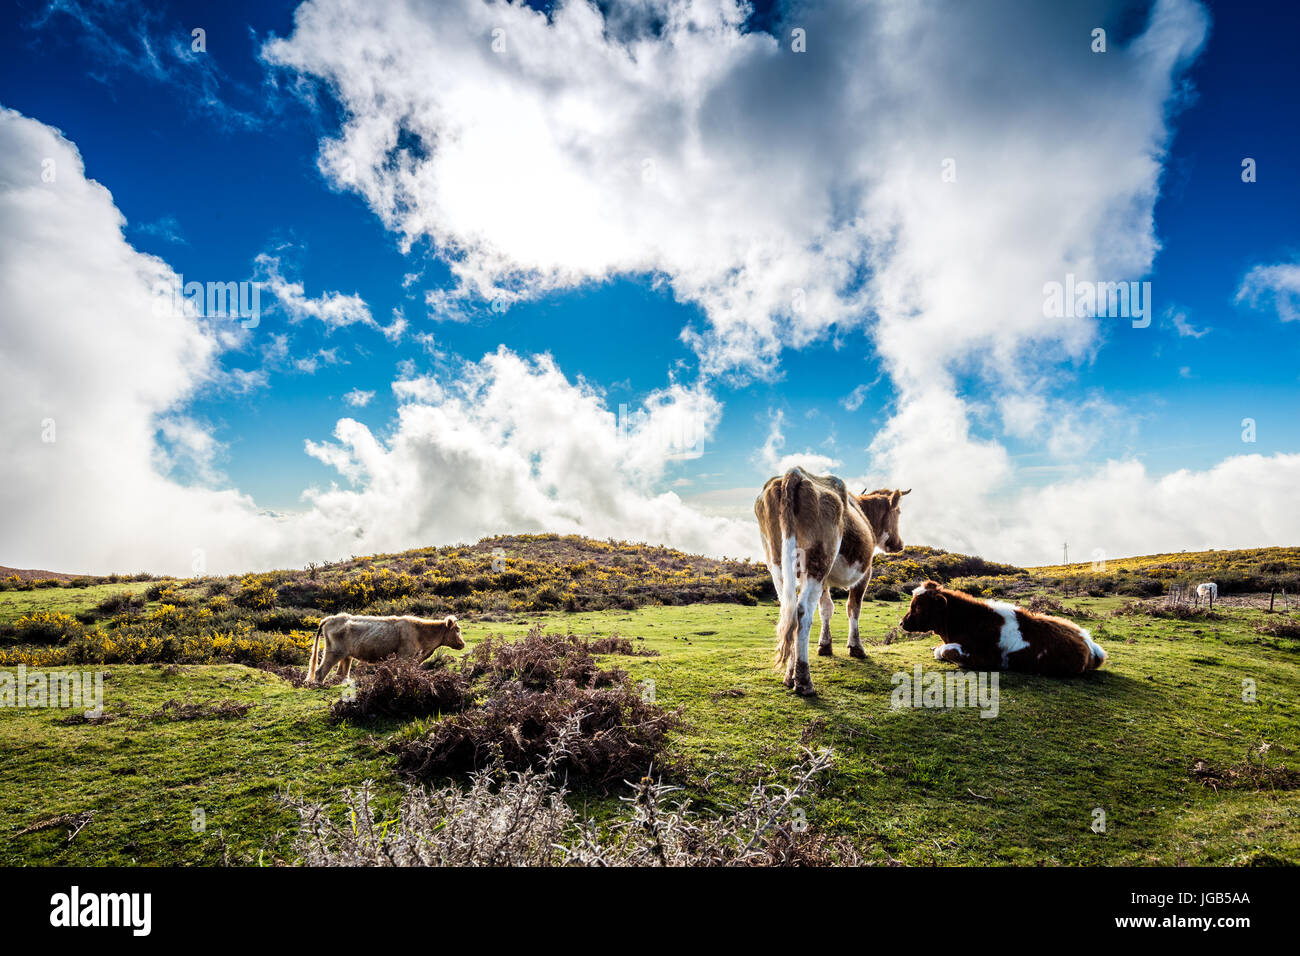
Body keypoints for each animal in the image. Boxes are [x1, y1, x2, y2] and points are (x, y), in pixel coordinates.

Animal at [306, 613, 465, 683]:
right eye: (457, 629)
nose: (463, 644)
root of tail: (332, 618)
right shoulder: (404, 657)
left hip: (346, 656)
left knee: (342, 674)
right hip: (333, 653)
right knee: (320, 672)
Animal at [755, 466, 910, 696]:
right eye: (898, 512)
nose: (899, 544)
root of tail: (795, 473)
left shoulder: (825, 581)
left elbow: (826, 608)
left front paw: (825, 645)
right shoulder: (865, 573)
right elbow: (853, 607)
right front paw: (856, 647)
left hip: (777, 563)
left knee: (788, 612)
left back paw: (789, 676)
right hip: (819, 561)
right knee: (802, 612)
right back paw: (804, 681)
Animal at [900, 581, 1106, 677]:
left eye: (918, 606)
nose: (902, 623)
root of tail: (1089, 641)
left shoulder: (985, 659)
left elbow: (946, 651)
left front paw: (939, 651)